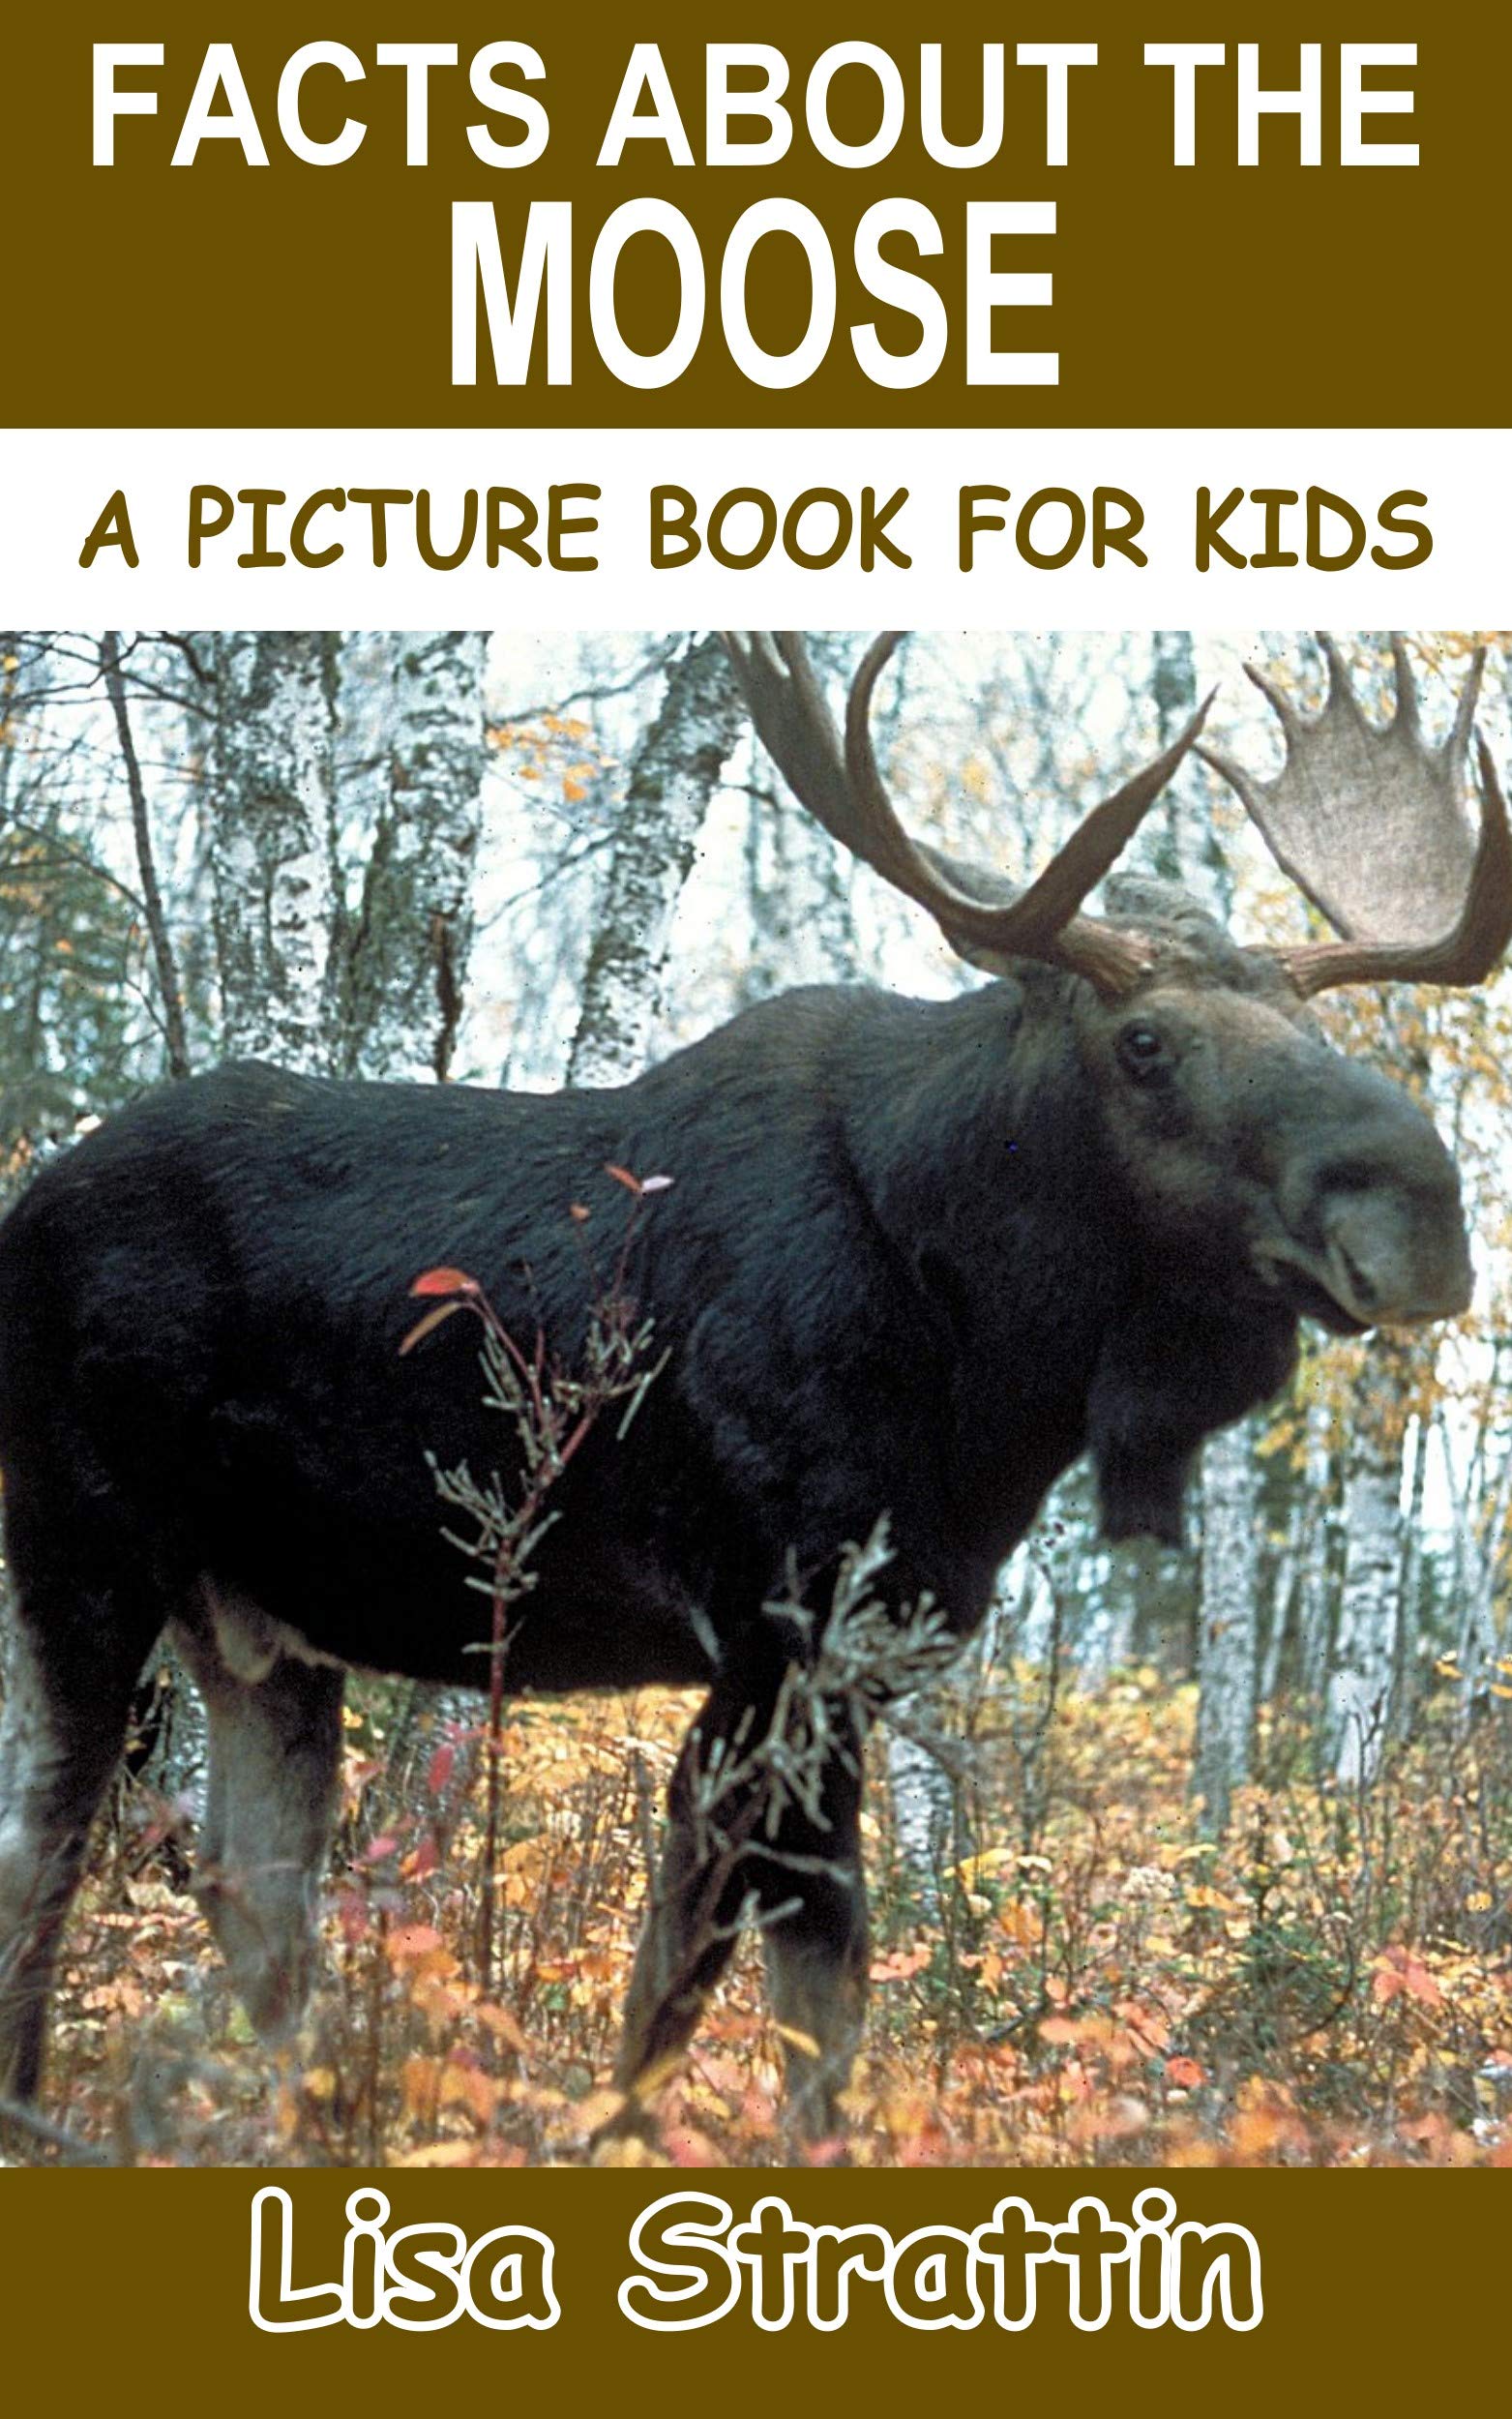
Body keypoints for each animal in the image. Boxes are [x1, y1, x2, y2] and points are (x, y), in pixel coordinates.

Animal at [0, 632, 1506, 2142]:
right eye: (1143, 1041)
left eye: (1311, 1019)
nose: (1420, 1210)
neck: (987, 1363)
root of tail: (25, 1207)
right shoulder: (776, 1627)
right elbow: (755, 2002)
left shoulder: (865, 1650)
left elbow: (751, 1995)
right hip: (81, 1554)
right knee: (46, 1853)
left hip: (261, 1629)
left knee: (257, 1907)